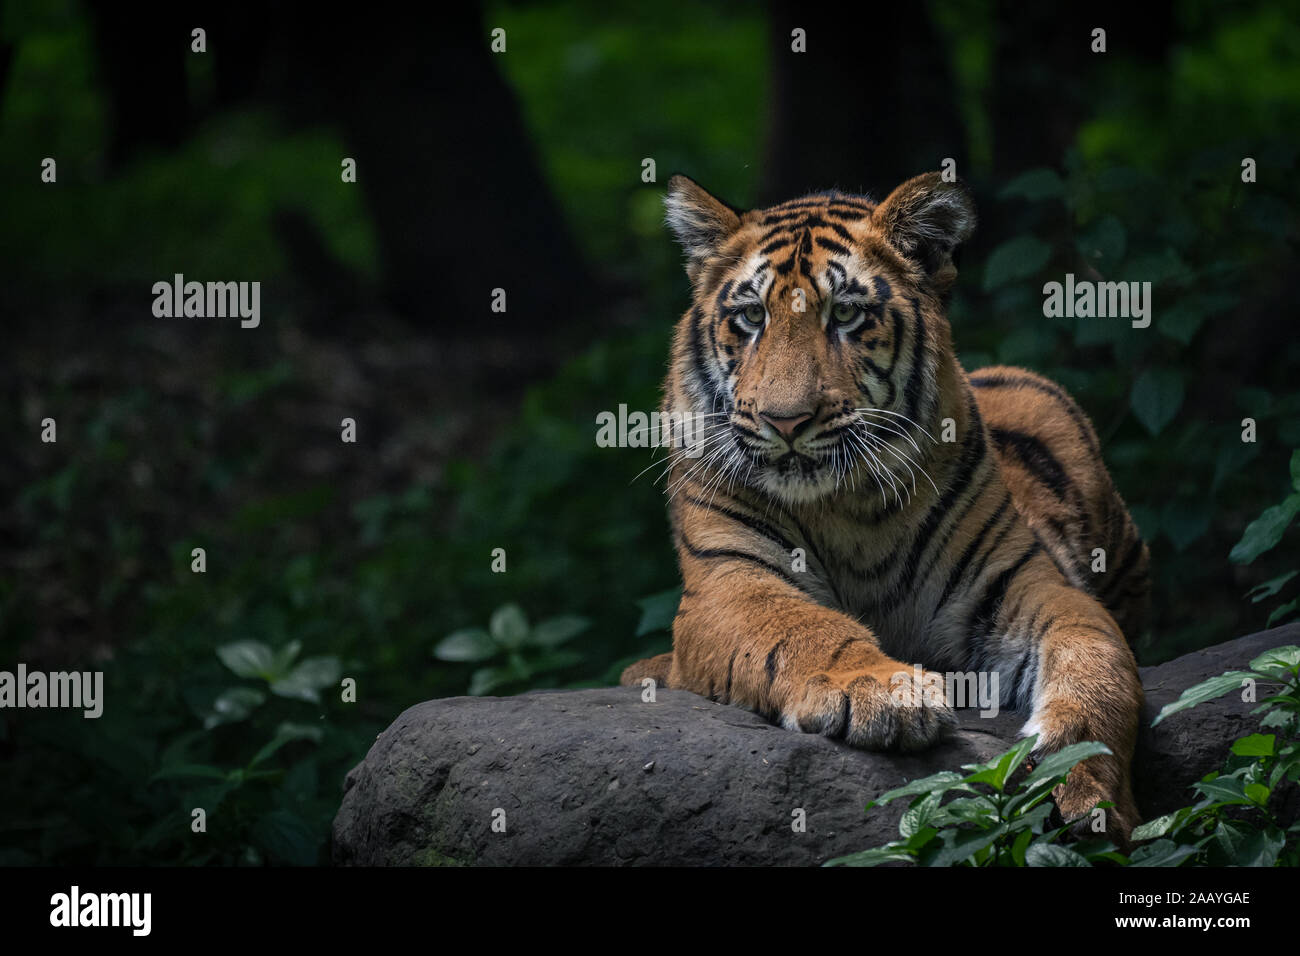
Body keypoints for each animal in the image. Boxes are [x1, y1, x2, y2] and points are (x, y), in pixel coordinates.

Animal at [619, 171, 1151, 841]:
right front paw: (878, 691)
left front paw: (1083, 772)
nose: (784, 421)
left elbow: (1096, 652)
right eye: (751, 316)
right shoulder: (729, 582)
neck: (847, 507)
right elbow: (801, 626)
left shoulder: (1018, 580)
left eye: (845, 313)